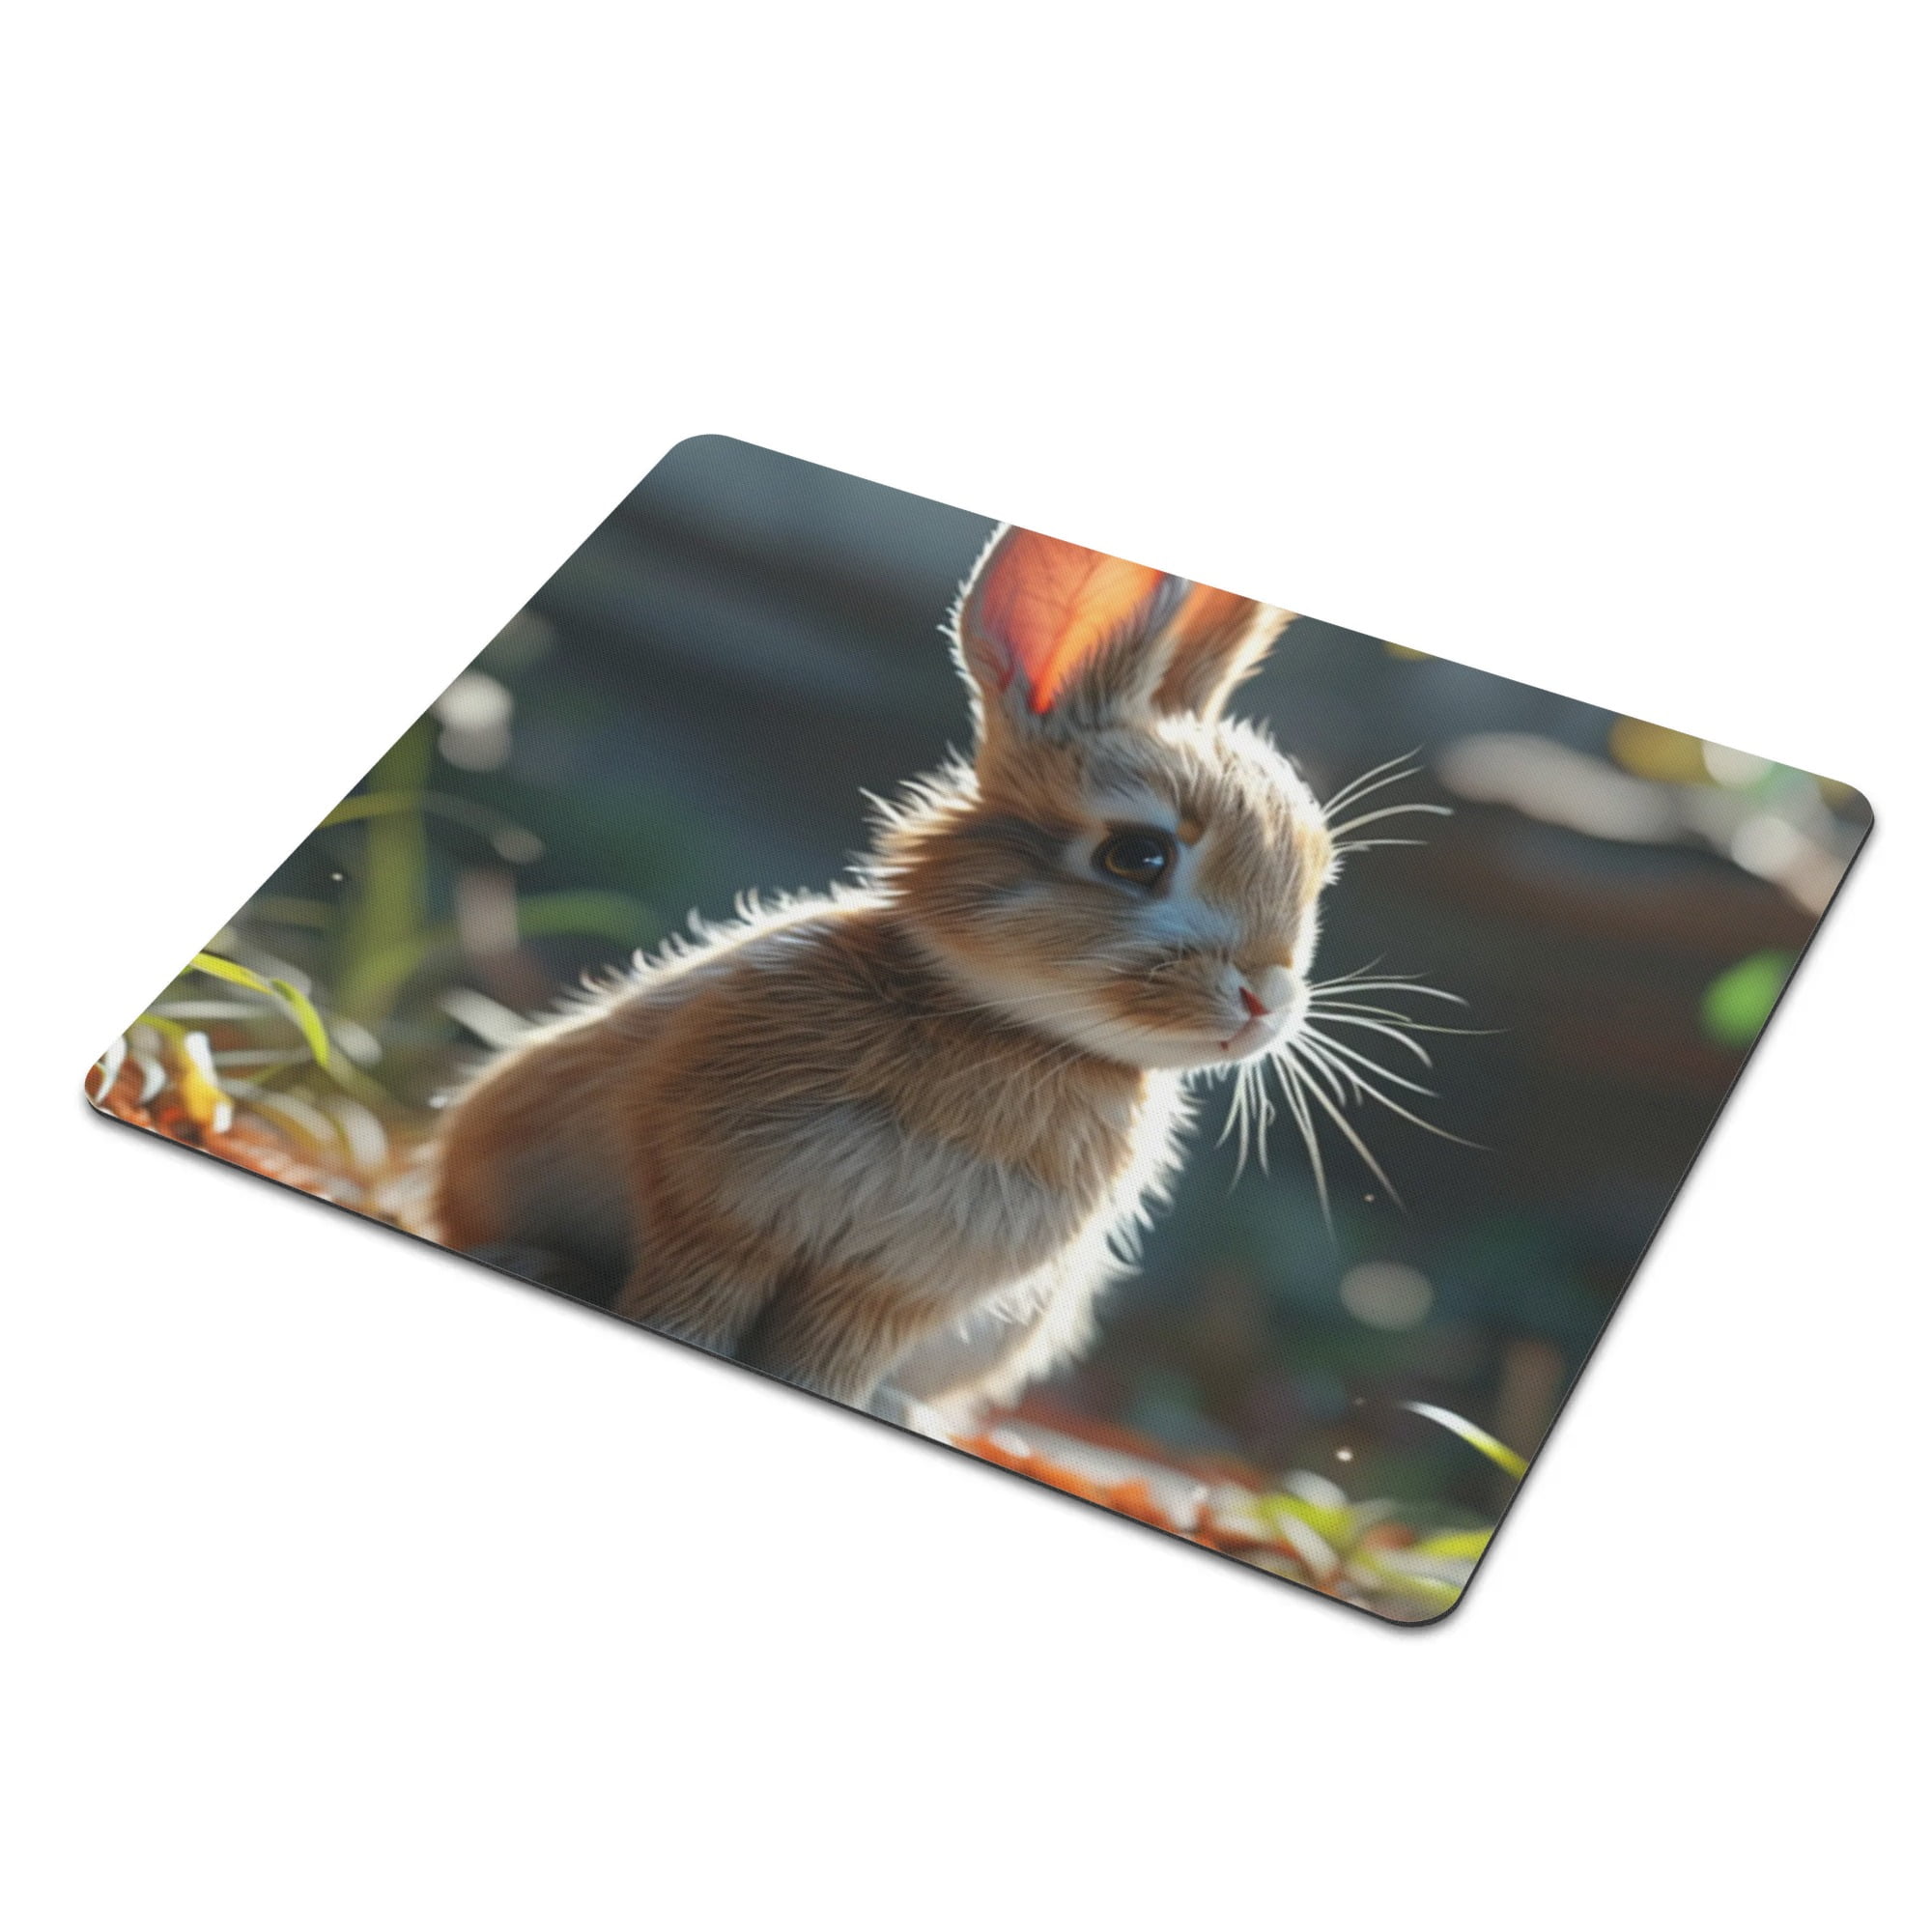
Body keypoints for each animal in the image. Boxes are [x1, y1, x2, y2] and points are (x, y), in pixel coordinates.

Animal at [429, 526, 1334, 1436]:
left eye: (1317, 876)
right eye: (1137, 857)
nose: (1265, 1001)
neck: (1006, 1027)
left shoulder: (884, 1289)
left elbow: (824, 1366)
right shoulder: (725, 1217)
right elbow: (688, 1311)